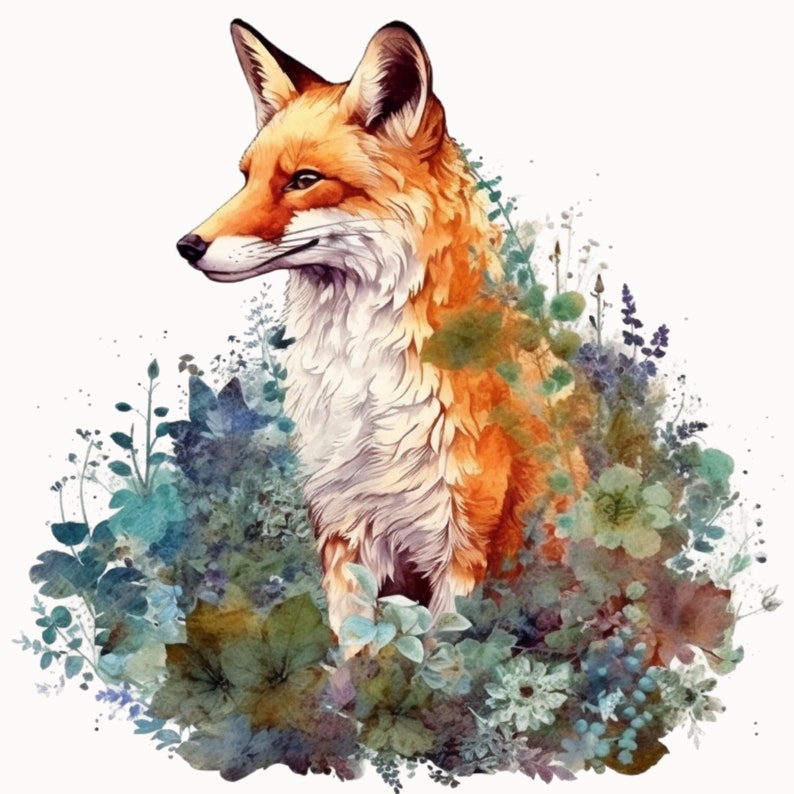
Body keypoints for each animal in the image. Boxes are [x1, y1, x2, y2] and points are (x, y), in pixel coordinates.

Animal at [176, 19, 587, 635]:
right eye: (246, 177)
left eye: (303, 179)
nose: (187, 246)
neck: (365, 389)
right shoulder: (344, 531)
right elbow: (356, 647)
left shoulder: (464, 546)